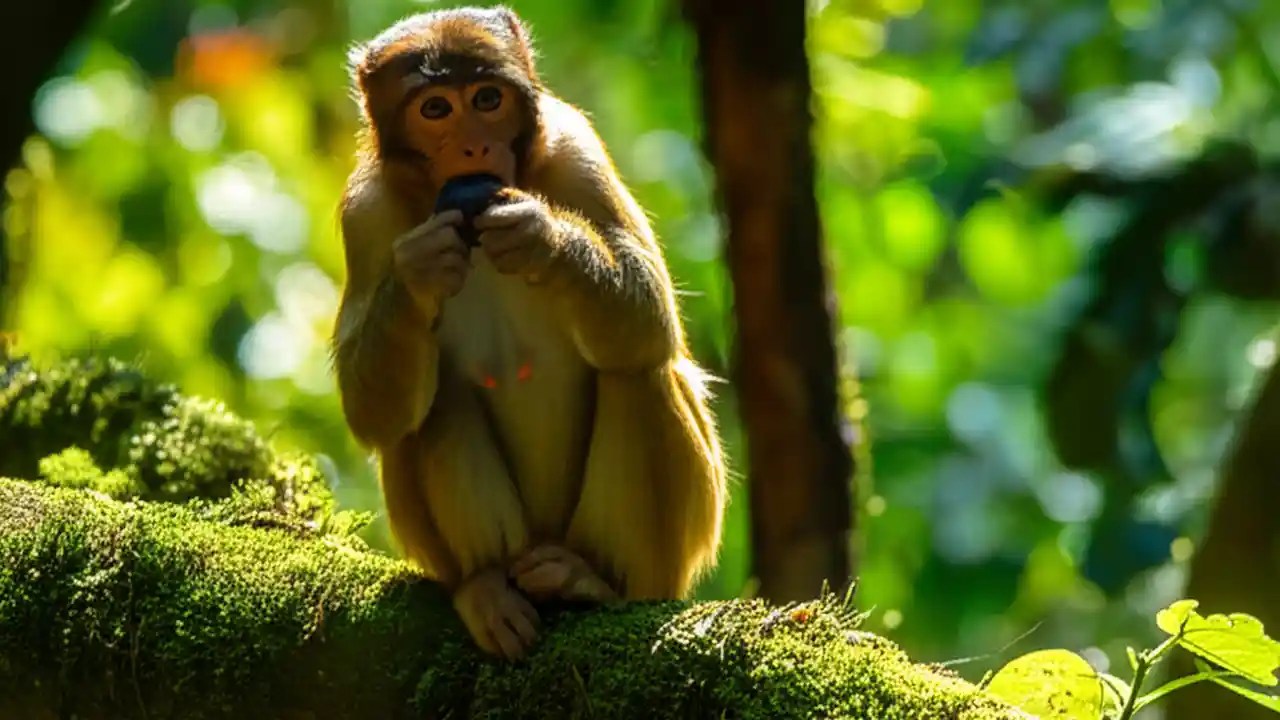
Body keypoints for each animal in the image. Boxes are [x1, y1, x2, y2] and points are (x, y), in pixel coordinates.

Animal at [331, 6, 727, 660]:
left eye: (487, 99)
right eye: (435, 108)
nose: (474, 144)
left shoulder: (574, 149)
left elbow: (651, 318)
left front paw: (541, 235)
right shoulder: (364, 212)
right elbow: (371, 415)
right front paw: (419, 274)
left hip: (659, 561)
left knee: (637, 371)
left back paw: (595, 584)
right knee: (428, 403)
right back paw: (484, 586)